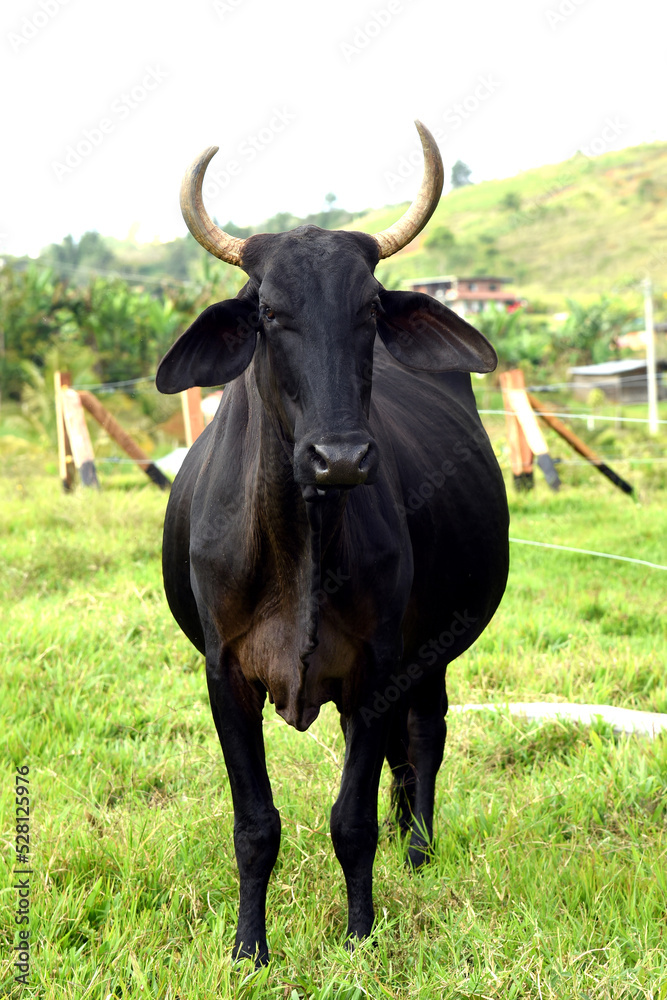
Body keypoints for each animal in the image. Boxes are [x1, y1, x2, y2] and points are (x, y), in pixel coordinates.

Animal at [156, 121, 509, 965]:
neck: (302, 541)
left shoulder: (377, 666)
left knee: (424, 734)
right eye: (269, 312)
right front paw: (249, 948)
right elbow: (256, 825)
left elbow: (350, 821)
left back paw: (418, 849)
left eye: (368, 308)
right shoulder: (223, 674)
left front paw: (358, 935)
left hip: (430, 650)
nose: (339, 458)